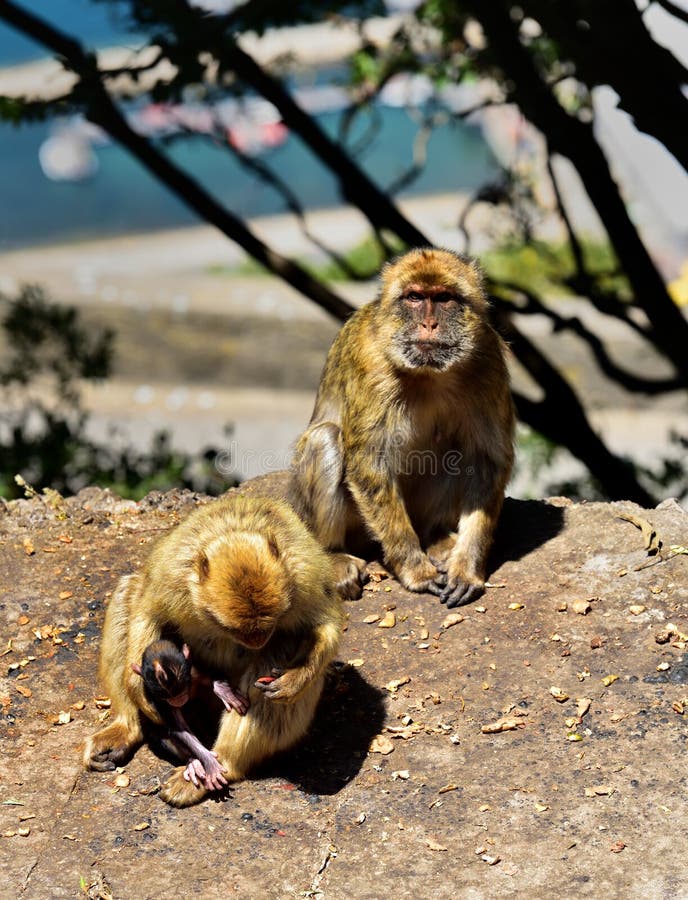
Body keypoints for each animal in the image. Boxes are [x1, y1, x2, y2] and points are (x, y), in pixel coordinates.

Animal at [131, 639, 249, 790]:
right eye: (167, 697)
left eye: (181, 689)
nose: (178, 700)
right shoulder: (159, 700)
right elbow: (179, 729)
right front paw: (208, 761)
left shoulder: (194, 671)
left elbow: (213, 672)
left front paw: (224, 690)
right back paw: (194, 763)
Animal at [289, 248, 514, 608]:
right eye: (414, 297)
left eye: (444, 298)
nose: (429, 323)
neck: (429, 375)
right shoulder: (370, 364)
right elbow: (370, 463)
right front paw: (416, 571)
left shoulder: (488, 360)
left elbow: (486, 460)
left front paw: (467, 568)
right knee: (326, 438)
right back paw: (334, 556)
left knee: (457, 452)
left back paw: (437, 537)